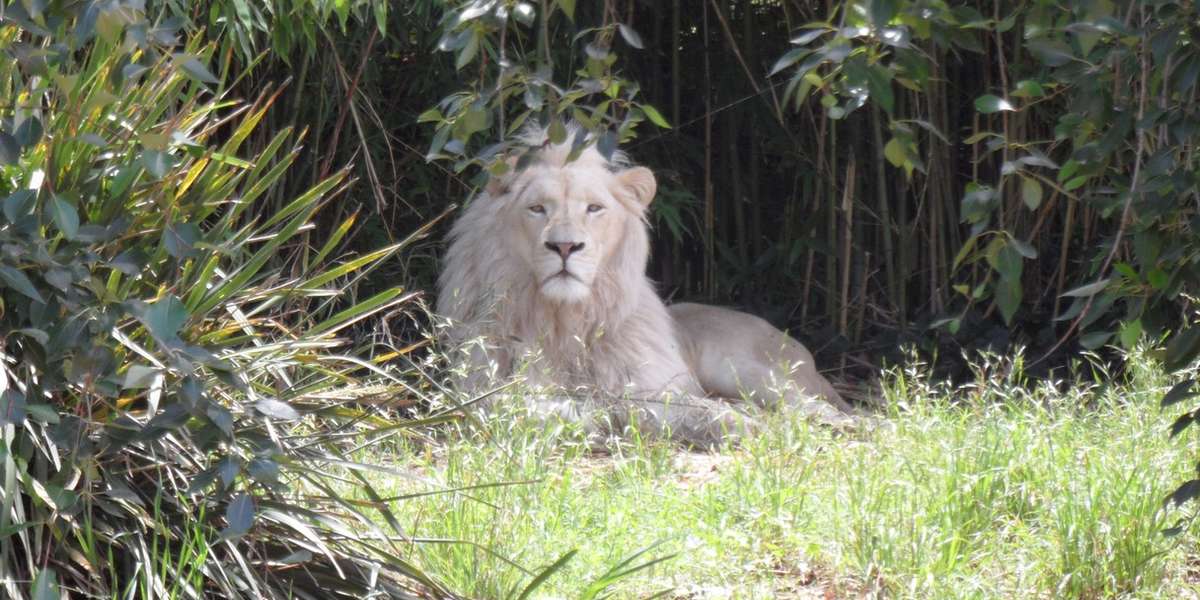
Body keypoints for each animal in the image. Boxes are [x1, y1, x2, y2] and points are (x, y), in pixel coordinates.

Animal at [436, 129, 856, 447]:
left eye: (594, 209)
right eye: (537, 209)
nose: (565, 246)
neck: (567, 318)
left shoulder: (654, 378)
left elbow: (676, 407)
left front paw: (737, 423)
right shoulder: (482, 394)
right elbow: (550, 410)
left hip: (743, 369)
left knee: (814, 406)